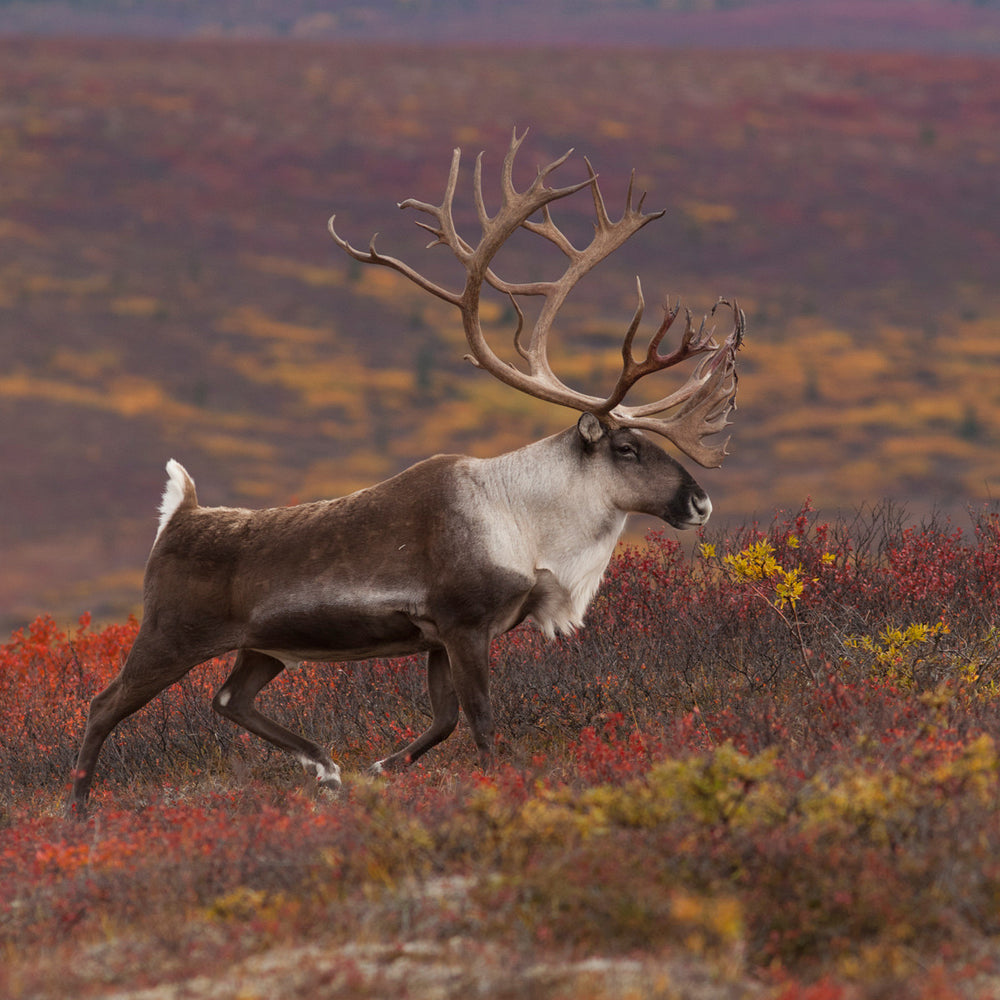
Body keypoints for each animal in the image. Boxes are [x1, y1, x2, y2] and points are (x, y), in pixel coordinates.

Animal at [67, 129, 743, 816]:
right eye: (626, 449)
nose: (700, 503)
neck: (526, 525)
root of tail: (180, 514)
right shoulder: (464, 625)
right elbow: (481, 720)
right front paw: (495, 788)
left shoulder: (436, 639)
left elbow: (443, 720)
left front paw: (380, 767)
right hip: (169, 636)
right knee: (103, 706)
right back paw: (78, 809)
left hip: (261, 648)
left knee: (229, 699)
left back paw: (326, 767)